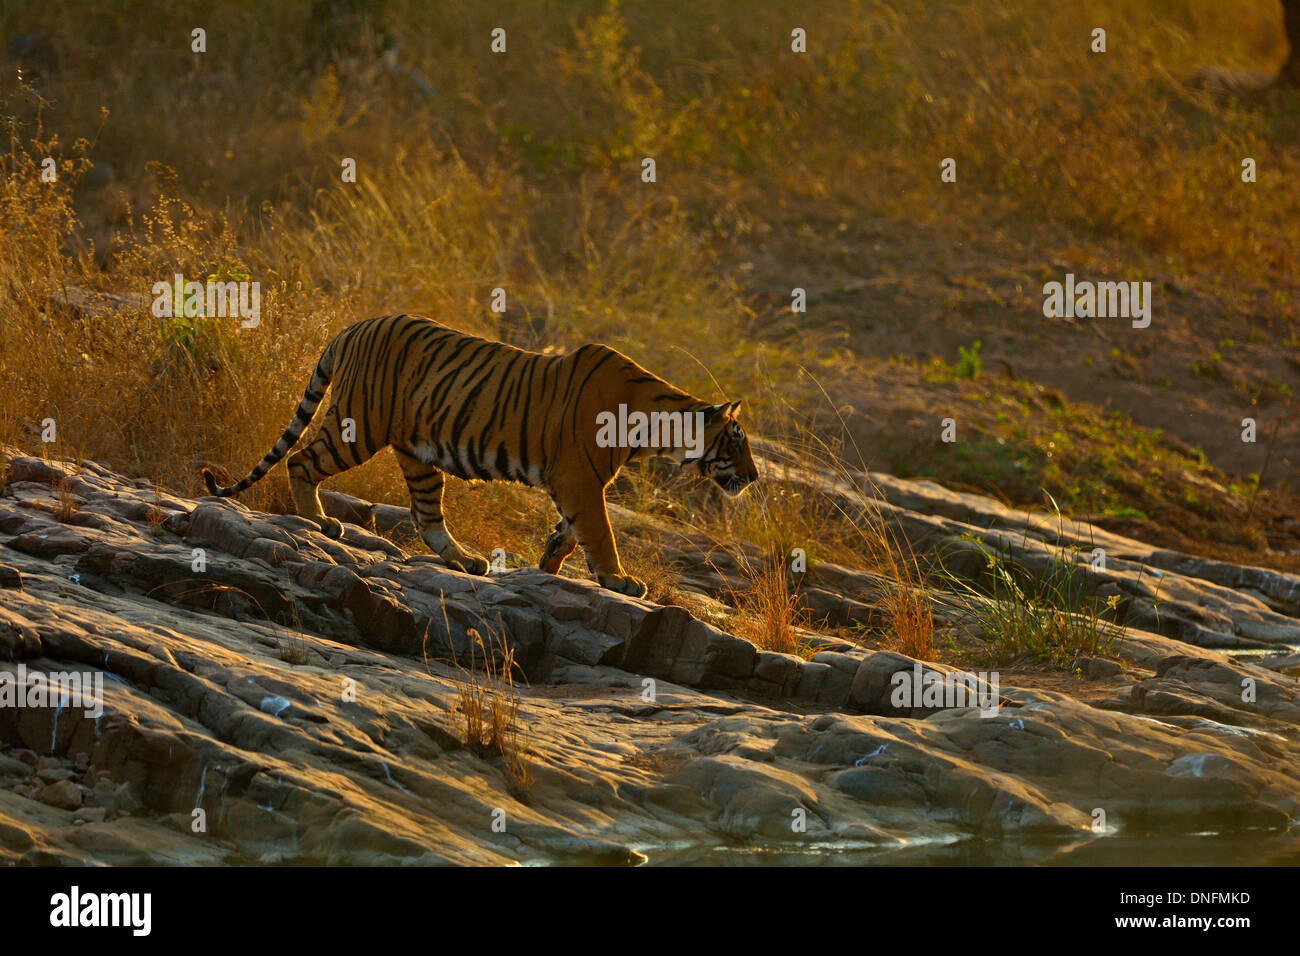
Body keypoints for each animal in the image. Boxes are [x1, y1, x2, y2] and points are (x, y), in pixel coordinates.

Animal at [201, 313, 758, 598]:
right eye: (737, 442)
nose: (754, 477)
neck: (658, 425)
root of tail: (351, 327)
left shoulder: (573, 483)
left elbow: (571, 532)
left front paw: (549, 564)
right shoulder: (579, 476)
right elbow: (600, 532)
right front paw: (619, 579)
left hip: (418, 454)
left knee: (426, 516)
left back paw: (468, 561)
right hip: (357, 427)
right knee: (300, 461)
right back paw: (321, 522)